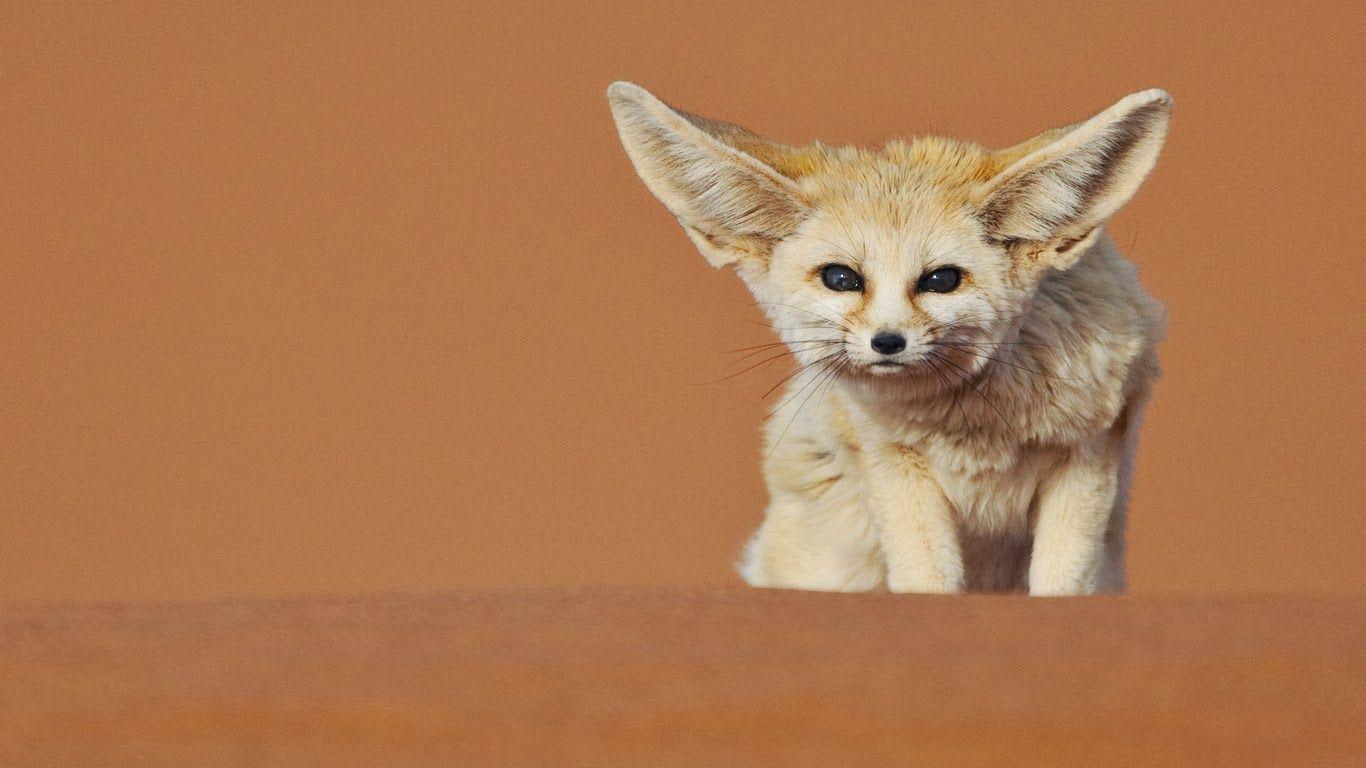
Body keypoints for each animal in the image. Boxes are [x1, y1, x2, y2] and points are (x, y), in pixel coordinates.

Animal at [607, 82, 1170, 595]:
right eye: (840, 278)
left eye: (941, 280)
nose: (887, 342)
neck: (976, 425)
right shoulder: (892, 463)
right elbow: (925, 579)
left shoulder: (1091, 454)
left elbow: (1061, 583)